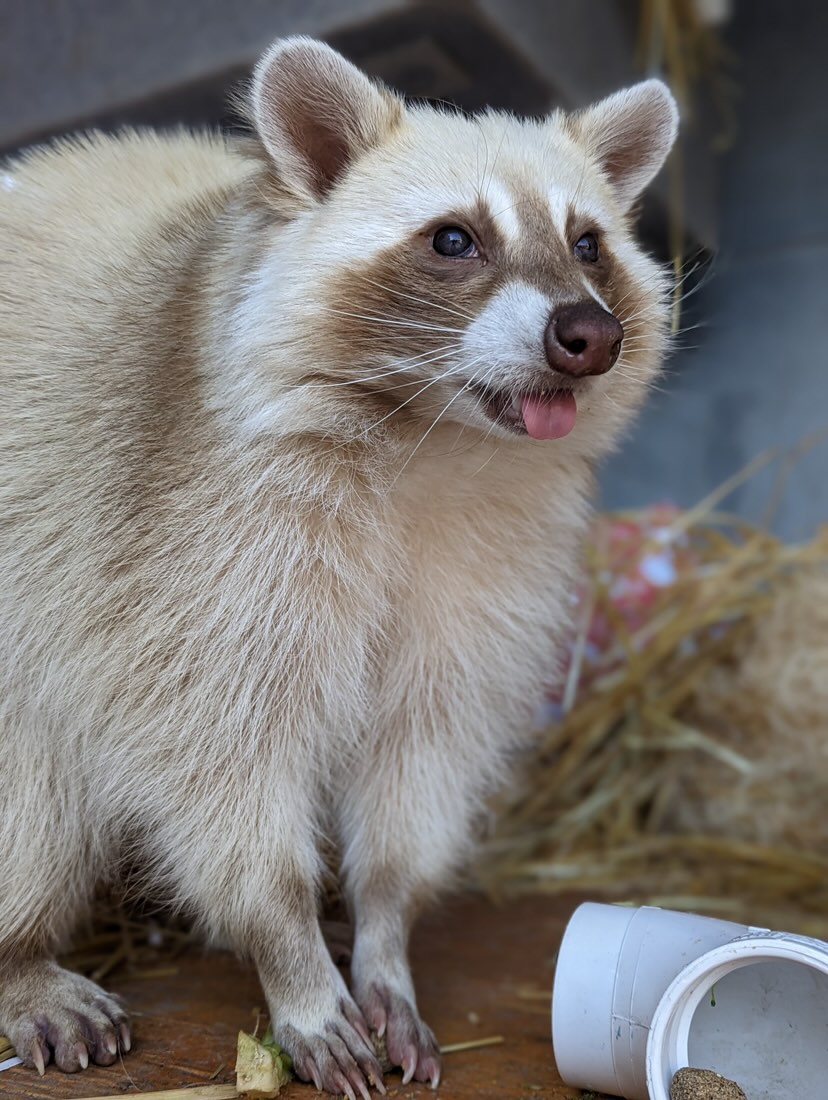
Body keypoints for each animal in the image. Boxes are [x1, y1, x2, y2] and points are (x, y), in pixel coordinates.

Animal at [0, 36, 677, 1096]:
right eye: (454, 239)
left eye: (589, 244)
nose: (590, 334)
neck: (436, 436)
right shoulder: (184, 539)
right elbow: (214, 754)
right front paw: (294, 963)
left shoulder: (490, 567)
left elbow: (424, 745)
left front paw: (385, 940)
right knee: (29, 776)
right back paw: (21, 955)